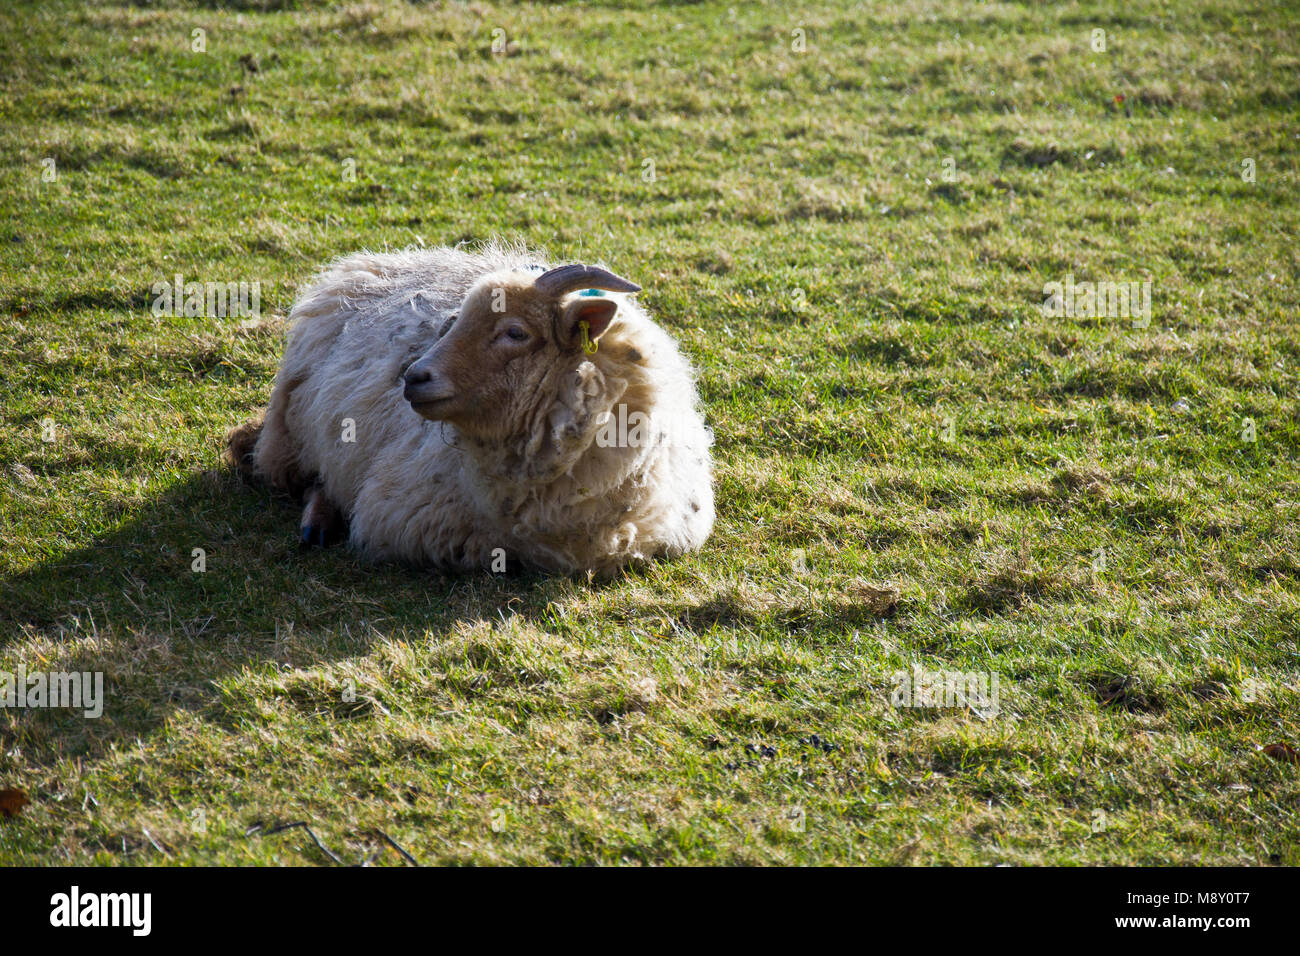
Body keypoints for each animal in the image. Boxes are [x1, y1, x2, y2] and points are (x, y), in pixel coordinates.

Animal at [225, 242, 715, 576]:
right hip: (293, 433)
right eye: (456, 318)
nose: (412, 376)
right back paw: (317, 526)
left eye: (515, 332)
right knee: (314, 479)